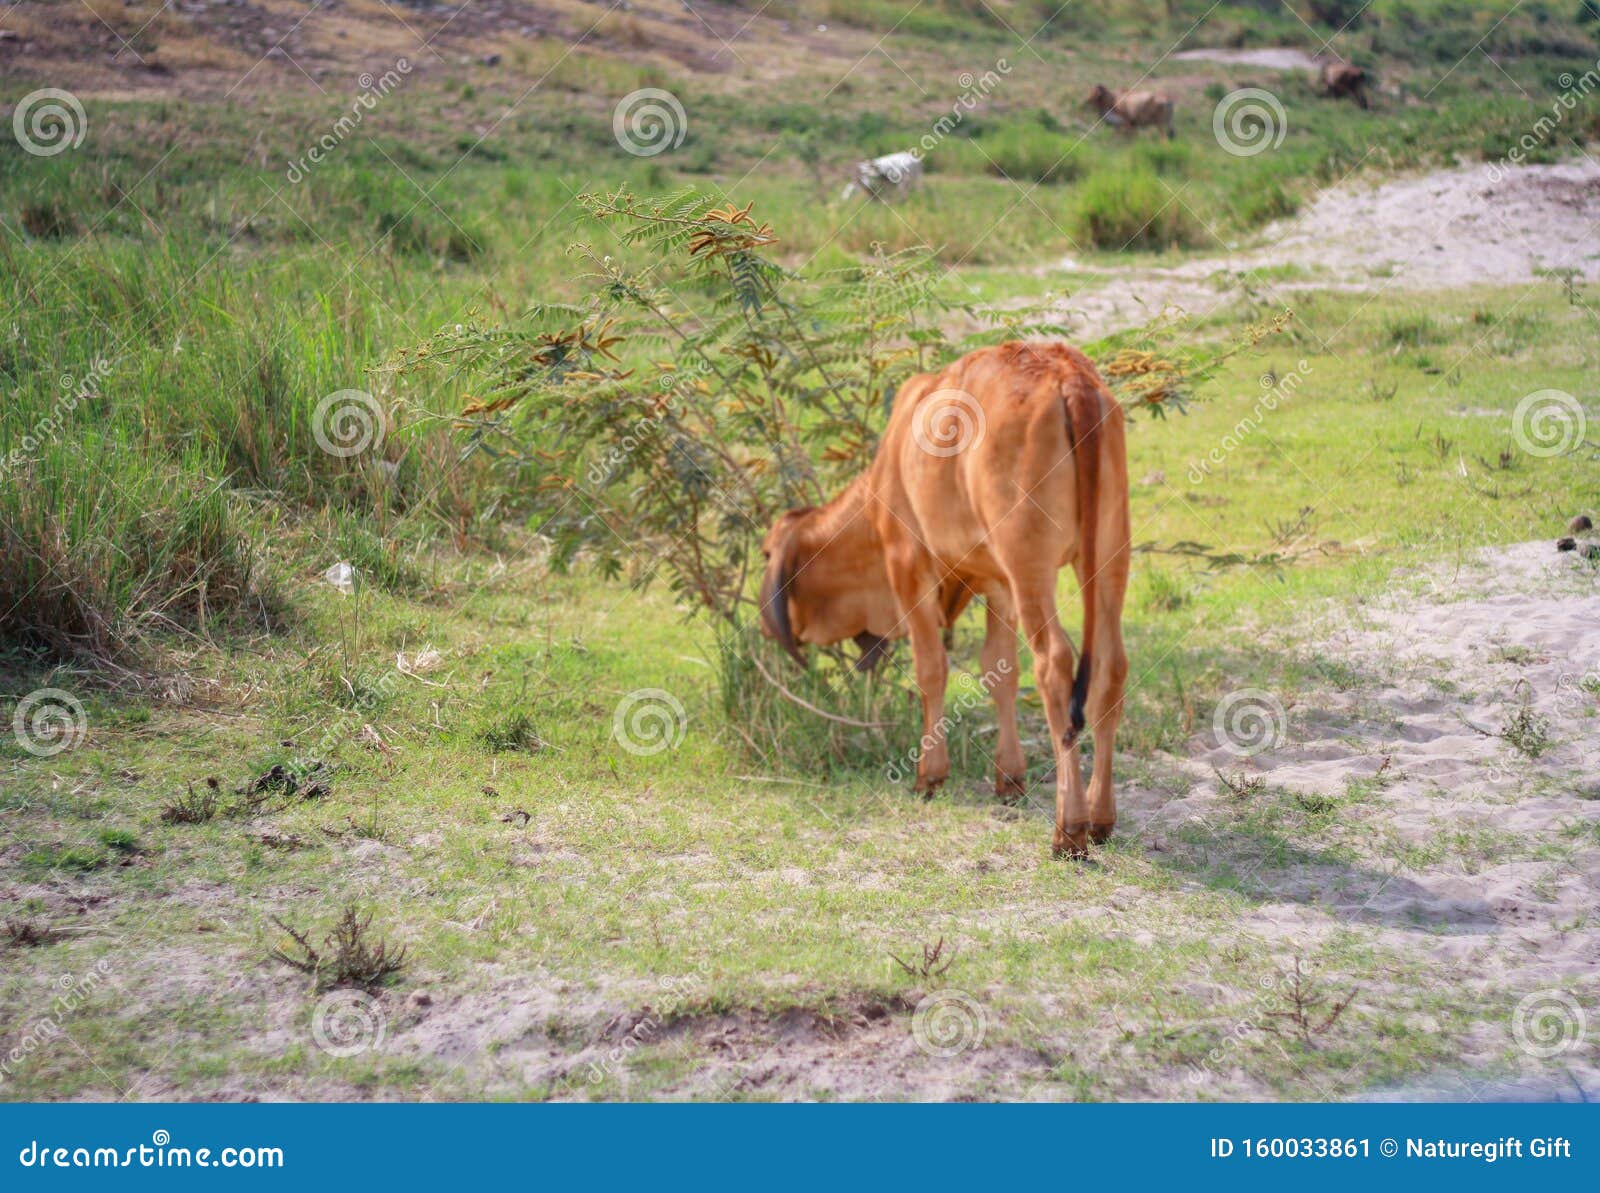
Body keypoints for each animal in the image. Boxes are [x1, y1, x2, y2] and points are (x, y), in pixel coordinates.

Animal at [759, 342, 1131, 858]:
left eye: (765, 552)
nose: (763, 622)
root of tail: (1067, 372)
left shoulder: (908, 565)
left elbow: (931, 671)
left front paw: (929, 776)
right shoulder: (998, 583)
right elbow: (1000, 671)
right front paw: (1009, 777)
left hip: (1031, 566)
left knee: (1054, 664)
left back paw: (1069, 829)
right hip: (1108, 558)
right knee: (1111, 667)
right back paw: (1100, 819)